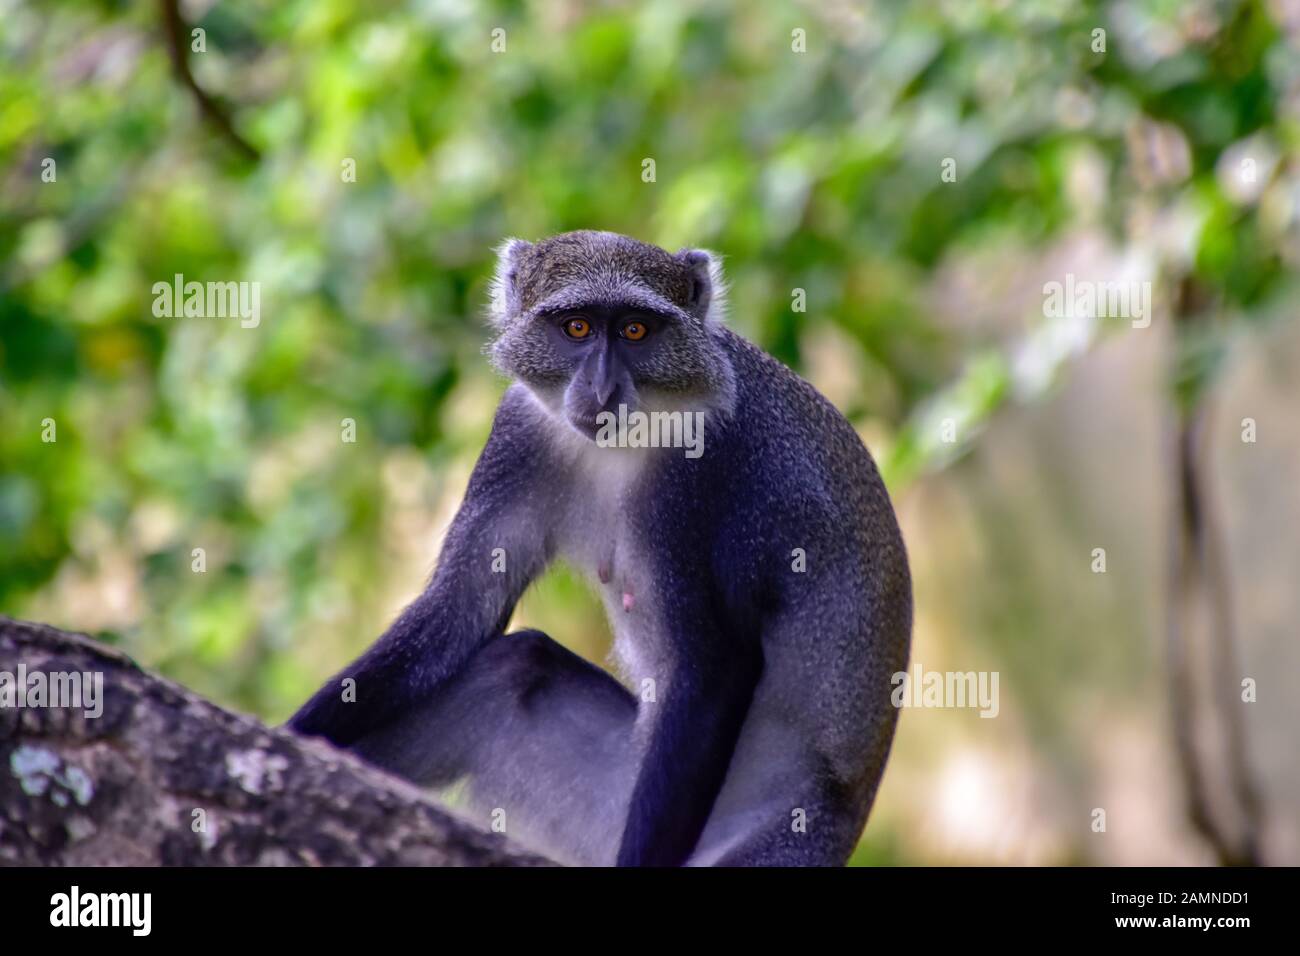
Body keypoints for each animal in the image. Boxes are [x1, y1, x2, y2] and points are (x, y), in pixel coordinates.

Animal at [288, 230, 912, 867]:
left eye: (635, 330)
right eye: (578, 328)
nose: (602, 388)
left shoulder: (702, 479)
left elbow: (710, 669)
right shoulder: (518, 432)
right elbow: (458, 611)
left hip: (777, 842)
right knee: (519, 665)